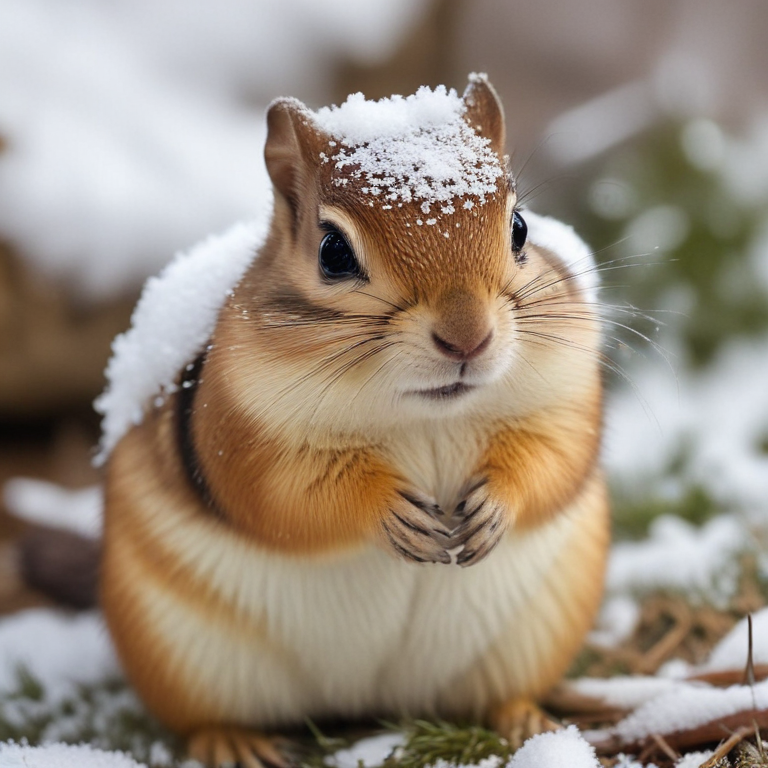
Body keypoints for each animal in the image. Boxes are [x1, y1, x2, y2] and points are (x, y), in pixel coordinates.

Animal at [98, 74, 609, 768]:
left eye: (521, 228)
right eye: (333, 251)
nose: (468, 337)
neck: (423, 415)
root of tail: (363, 700)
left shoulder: (563, 399)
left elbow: (553, 457)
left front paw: (494, 507)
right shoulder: (239, 433)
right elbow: (290, 495)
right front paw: (388, 510)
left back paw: (526, 720)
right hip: (177, 652)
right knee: (198, 719)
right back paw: (232, 741)